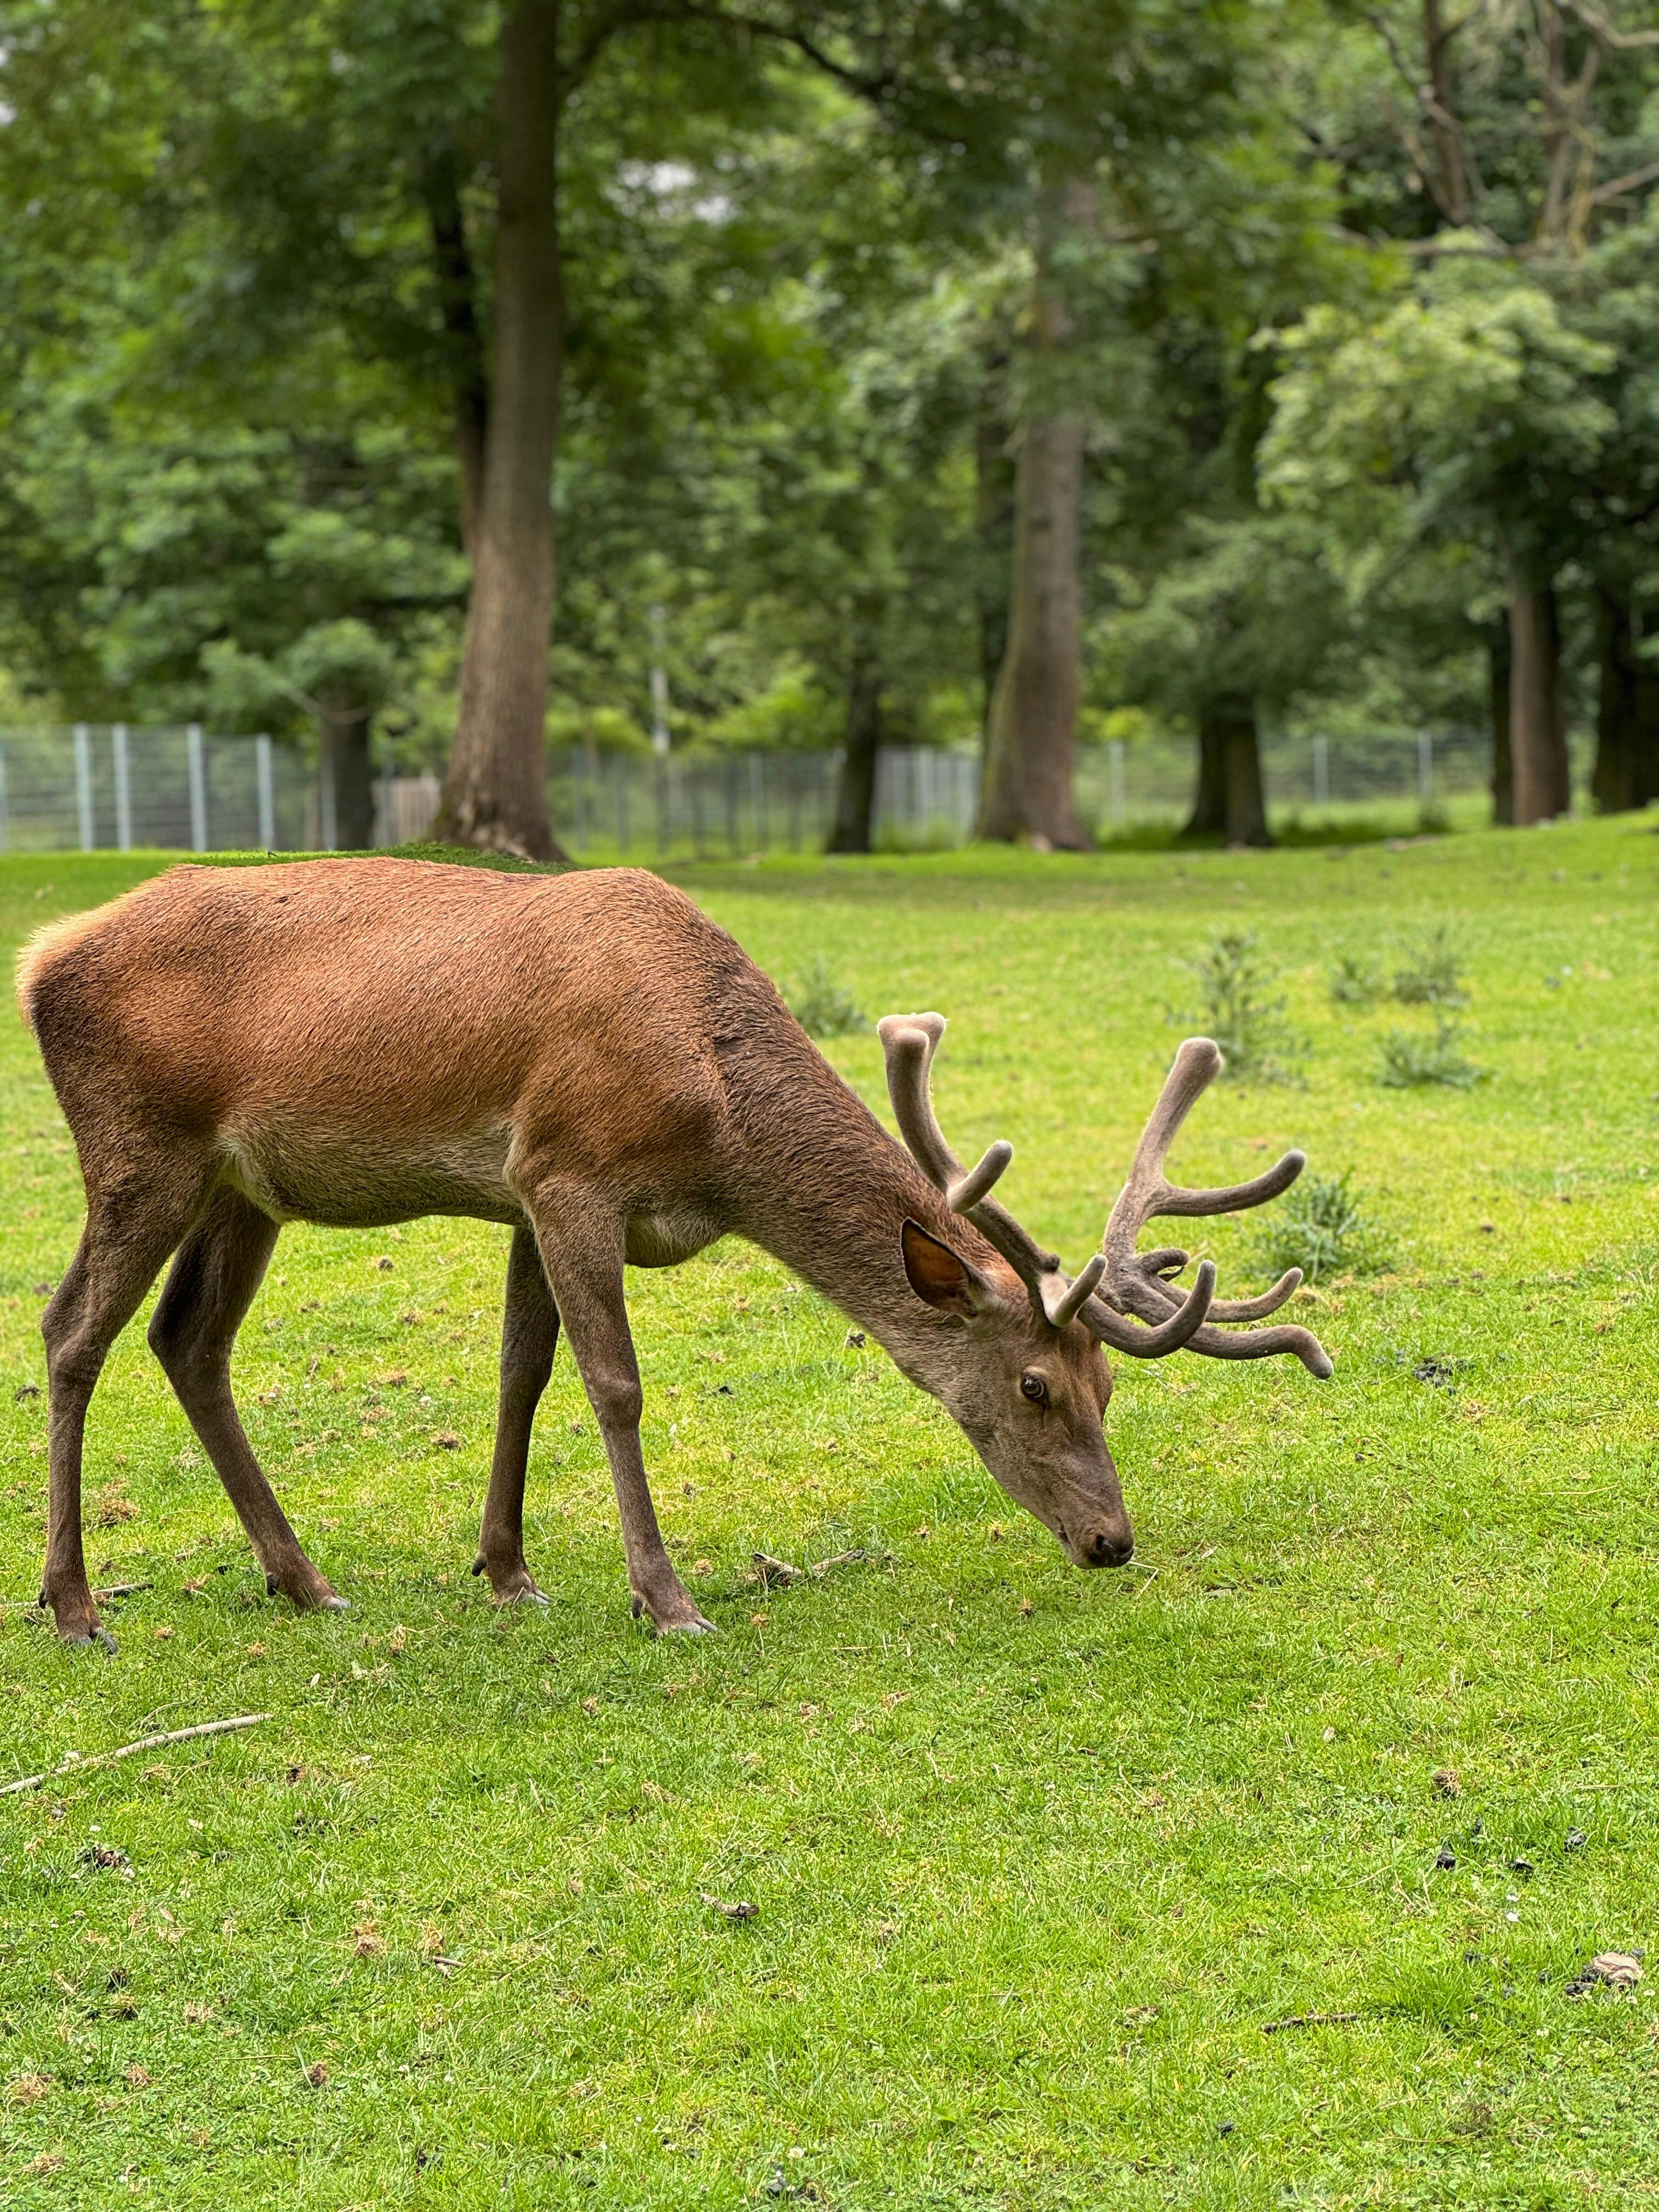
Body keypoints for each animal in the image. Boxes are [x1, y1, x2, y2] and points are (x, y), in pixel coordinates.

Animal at [15, 857, 1332, 1651]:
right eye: (1035, 1385)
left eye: (1107, 1383)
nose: (1112, 1540)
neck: (714, 1130)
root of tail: (39, 959)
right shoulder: (569, 1169)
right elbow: (613, 1385)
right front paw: (665, 1597)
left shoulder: (525, 1193)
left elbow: (522, 1372)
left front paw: (506, 1570)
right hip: (141, 1142)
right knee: (71, 1329)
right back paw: (73, 1603)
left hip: (244, 1186)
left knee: (190, 1340)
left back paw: (302, 1577)